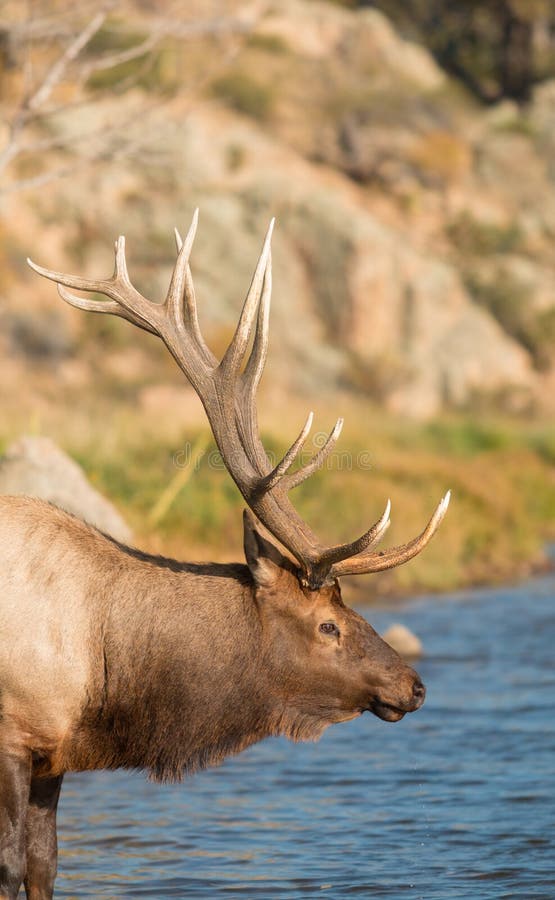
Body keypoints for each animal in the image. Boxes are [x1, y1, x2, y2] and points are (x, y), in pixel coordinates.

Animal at [0, 211, 449, 900]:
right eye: (328, 624)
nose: (415, 685)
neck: (100, 677)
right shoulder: (12, 737)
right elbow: (8, 867)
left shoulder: (53, 751)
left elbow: (43, 865)